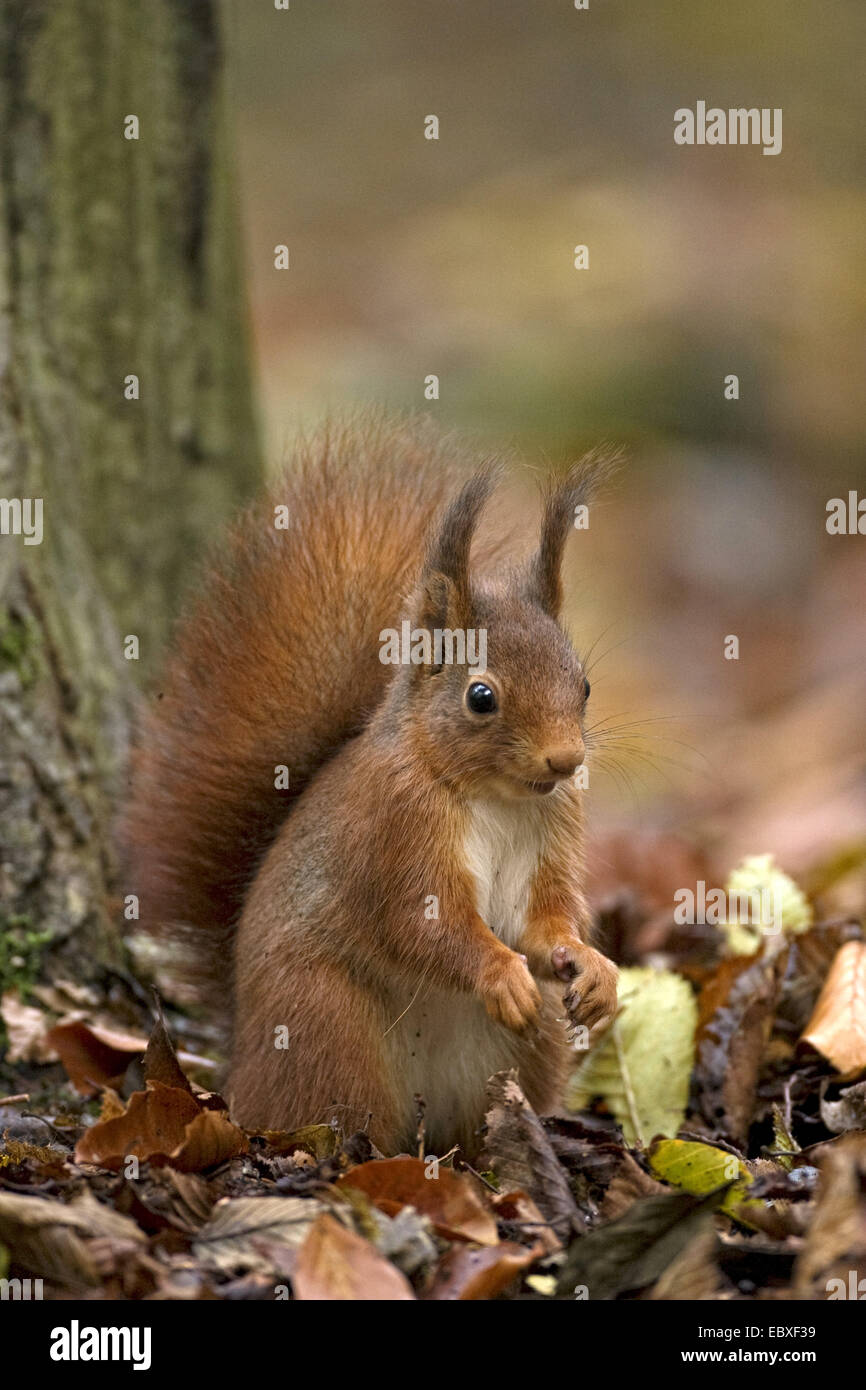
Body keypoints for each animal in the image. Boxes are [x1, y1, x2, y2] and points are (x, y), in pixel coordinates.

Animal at [124, 415, 619, 1155]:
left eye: (583, 686)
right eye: (481, 697)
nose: (564, 762)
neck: (492, 797)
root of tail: (241, 1060)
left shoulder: (553, 832)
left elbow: (546, 918)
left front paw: (591, 965)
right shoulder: (395, 831)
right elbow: (420, 924)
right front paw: (501, 973)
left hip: (524, 1055)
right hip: (327, 1024)